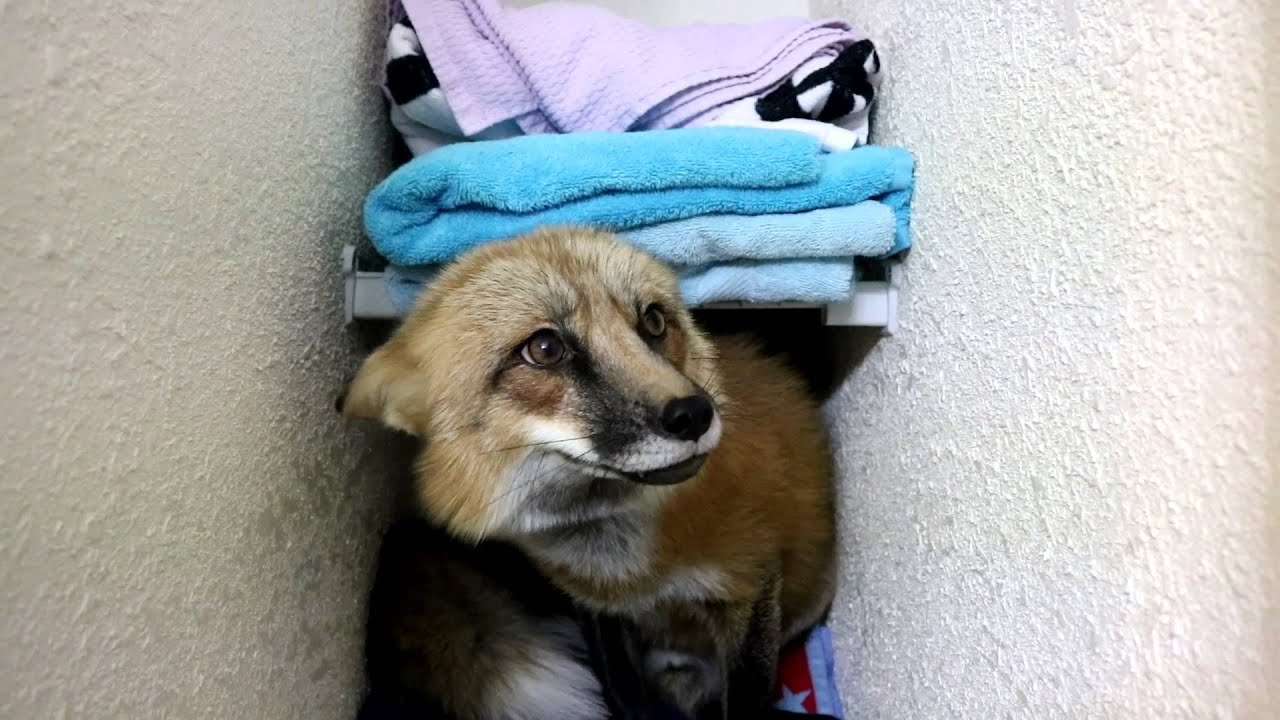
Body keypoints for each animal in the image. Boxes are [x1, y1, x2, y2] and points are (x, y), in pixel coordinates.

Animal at [341, 227, 838, 719]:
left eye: (654, 322)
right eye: (545, 349)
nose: (695, 414)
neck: (620, 565)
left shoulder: (751, 584)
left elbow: (746, 699)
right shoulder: (594, 608)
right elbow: (621, 690)